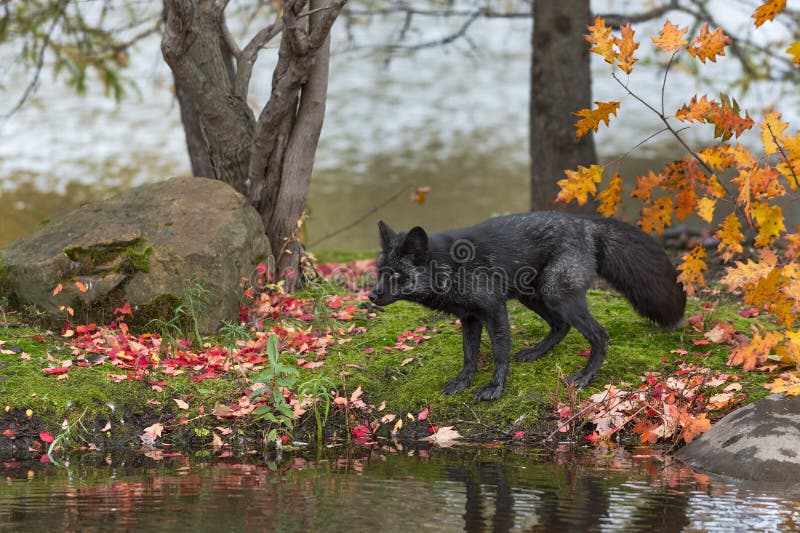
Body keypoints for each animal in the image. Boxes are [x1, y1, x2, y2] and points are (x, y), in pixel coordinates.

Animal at [368, 212, 686, 401]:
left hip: (557, 296)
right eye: (380, 272)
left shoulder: (494, 311)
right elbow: (469, 354)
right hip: (533, 296)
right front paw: (462, 381)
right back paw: (535, 353)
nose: (371, 296)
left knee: (600, 334)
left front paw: (495, 387)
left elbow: (499, 353)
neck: (451, 265)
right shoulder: (469, 318)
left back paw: (584, 377)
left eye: (396, 275)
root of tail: (585, 224)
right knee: (561, 326)